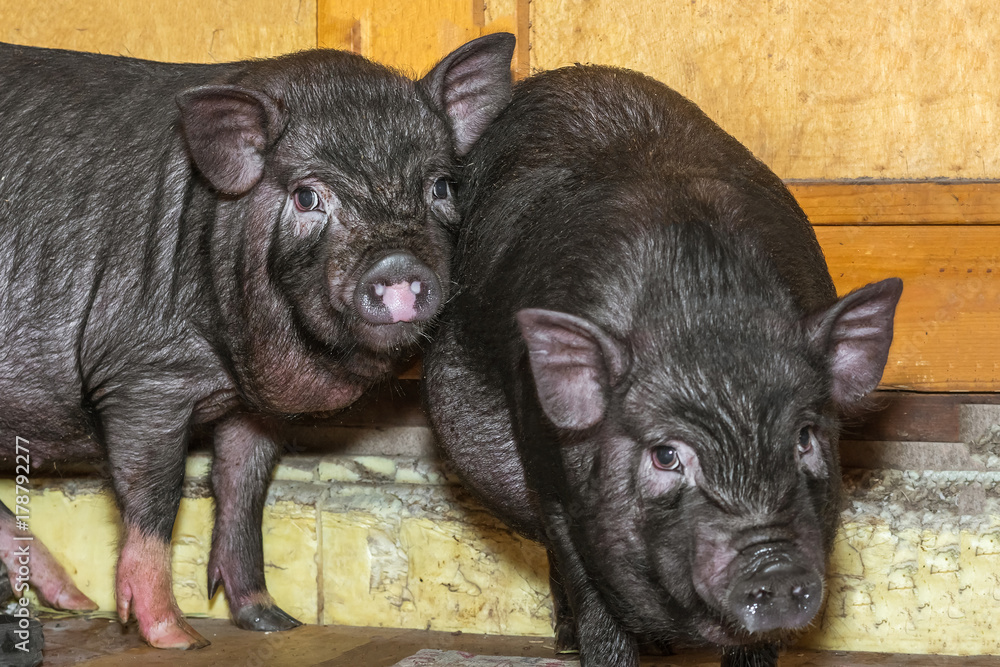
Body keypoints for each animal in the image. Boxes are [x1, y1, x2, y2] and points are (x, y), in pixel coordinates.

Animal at [0, 33, 515, 649]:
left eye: (440, 185)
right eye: (308, 197)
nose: (396, 263)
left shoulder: (252, 407)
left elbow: (243, 488)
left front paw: (274, 622)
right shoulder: (139, 378)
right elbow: (156, 495)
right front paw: (178, 638)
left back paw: (68, 599)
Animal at [423, 65, 902, 667]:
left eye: (805, 438)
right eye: (666, 455)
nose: (772, 564)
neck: (702, 302)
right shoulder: (557, 488)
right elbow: (595, 605)